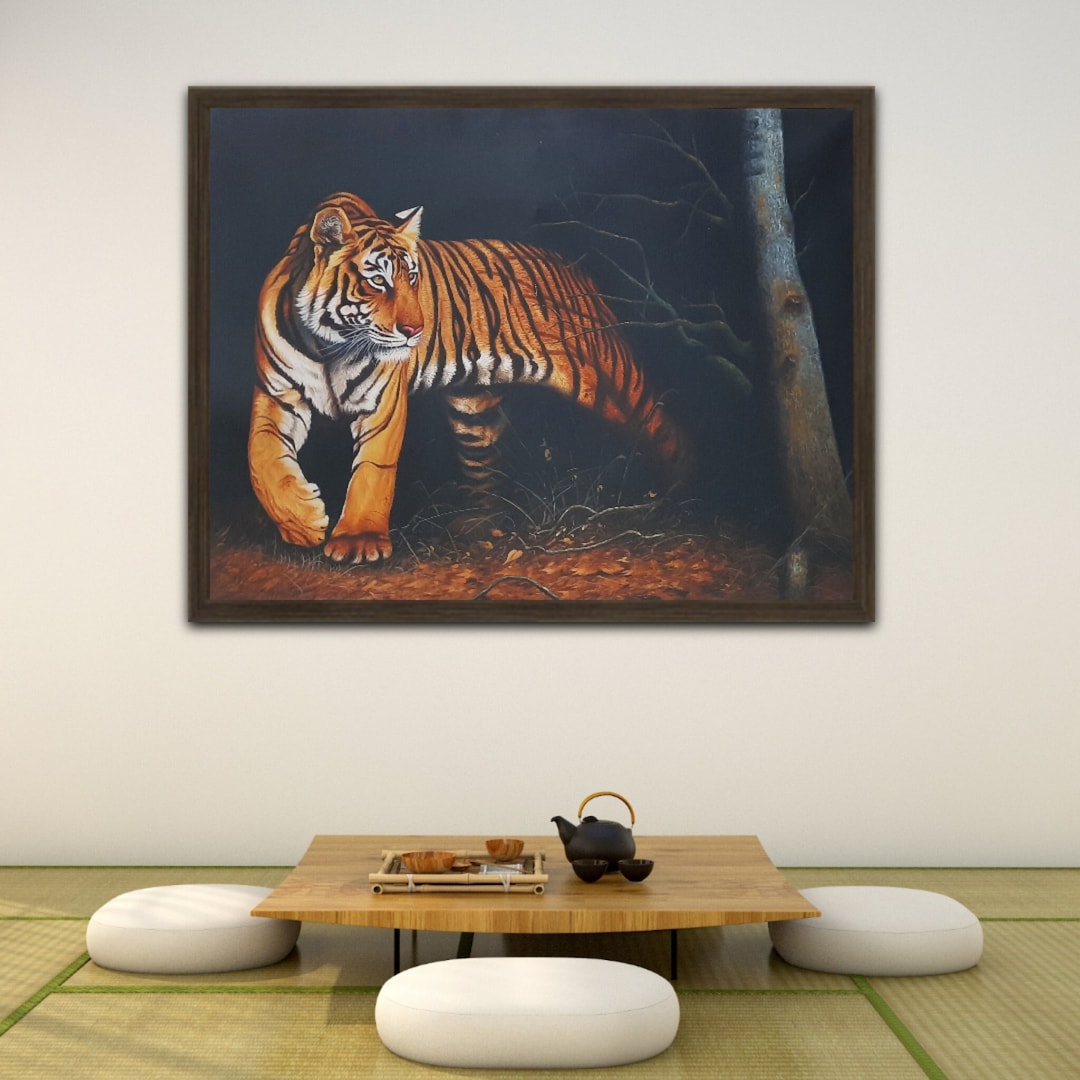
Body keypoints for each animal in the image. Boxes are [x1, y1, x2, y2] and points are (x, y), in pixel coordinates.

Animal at [248, 192, 690, 564]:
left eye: (412, 277)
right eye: (377, 280)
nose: (415, 331)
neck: (329, 346)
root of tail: (577, 270)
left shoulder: (382, 404)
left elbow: (373, 470)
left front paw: (359, 540)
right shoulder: (276, 395)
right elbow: (262, 459)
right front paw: (303, 524)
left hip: (612, 381)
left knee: (666, 430)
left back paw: (681, 504)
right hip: (474, 412)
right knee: (487, 462)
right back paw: (482, 524)